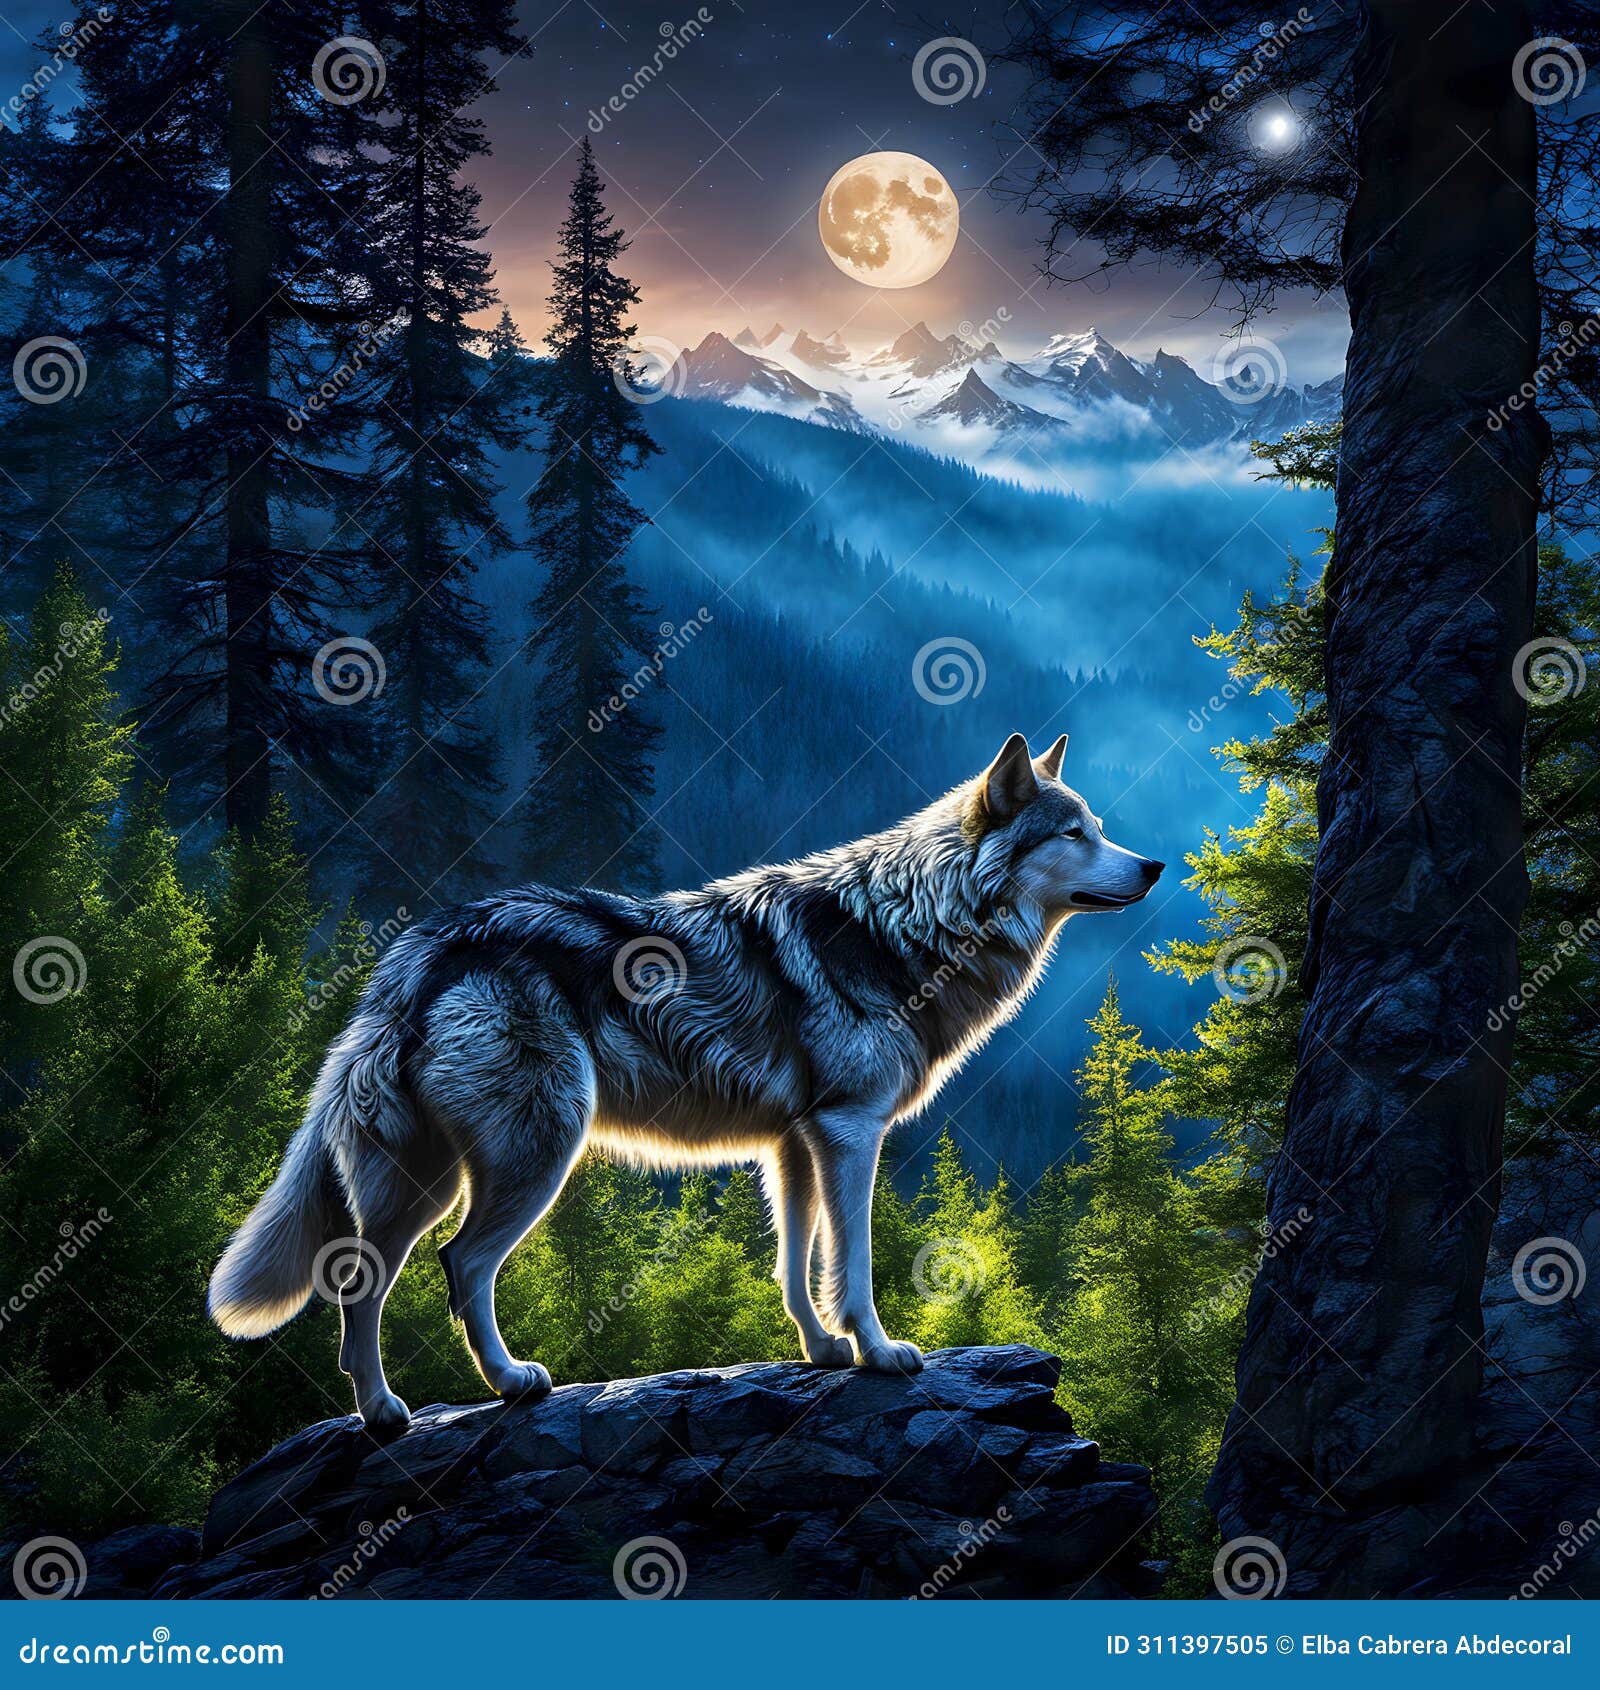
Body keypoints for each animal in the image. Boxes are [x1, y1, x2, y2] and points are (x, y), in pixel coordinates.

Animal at [209, 732, 1163, 1429]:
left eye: (1098, 827)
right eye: (1075, 833)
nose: (1154, 865)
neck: (914, 921)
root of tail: (426, 948)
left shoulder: (793, 1146)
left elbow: (794, 1264)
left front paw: (820, 1351)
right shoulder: (851, 1130)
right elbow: (851, 1265)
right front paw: (880, 1353)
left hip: (424, 1181)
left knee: (359, 1280)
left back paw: (380, 1412)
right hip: (530, 1160)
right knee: (461, 1264)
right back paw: (508, 1382)